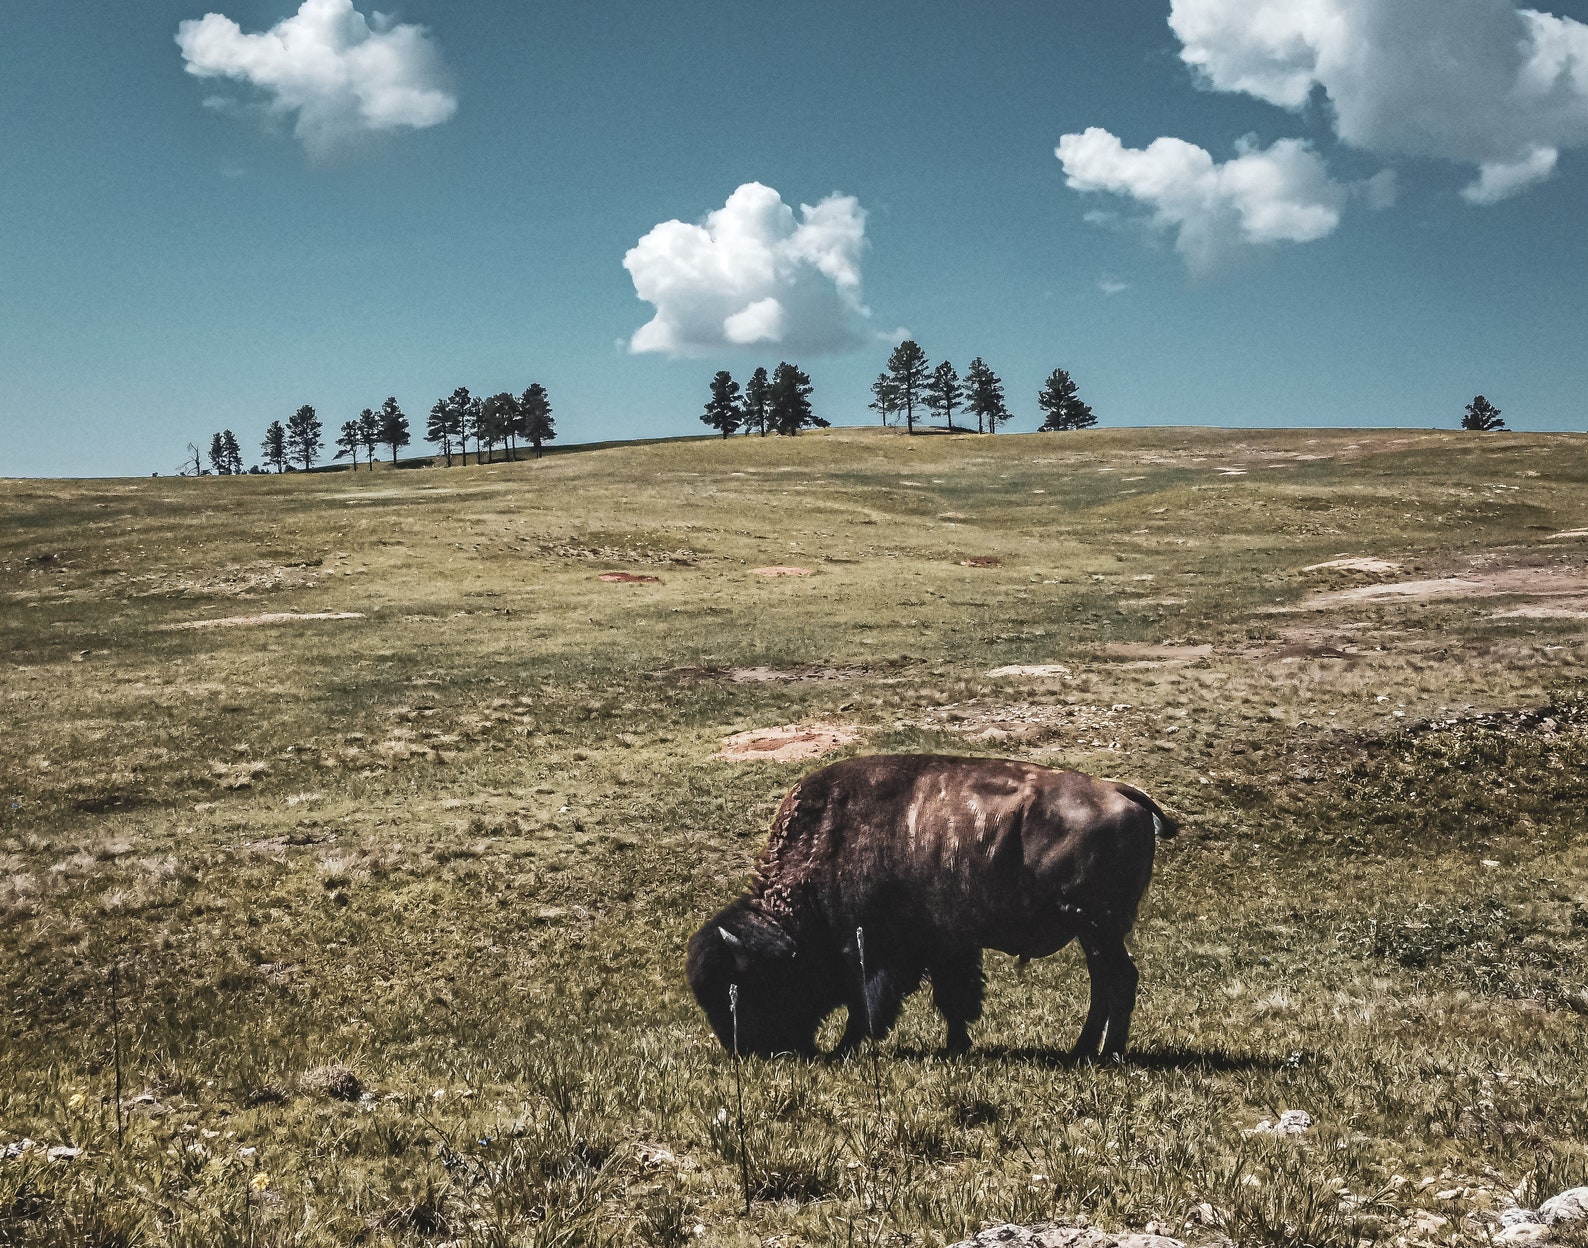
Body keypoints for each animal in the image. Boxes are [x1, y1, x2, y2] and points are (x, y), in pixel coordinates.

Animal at [687, 753, 1175, 1058]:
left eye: (747, 986)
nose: (745, 1050)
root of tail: (1121, 792)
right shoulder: (945, 949)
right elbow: (953, 999)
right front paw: (956, 1046)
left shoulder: (874, 954)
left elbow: (868, 1006)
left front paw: (844, 1049)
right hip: (1092, 934)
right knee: (1105, 985)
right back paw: (1084, 1050)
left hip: (1098, 929)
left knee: (1119, 982)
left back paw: (1107, 1055)